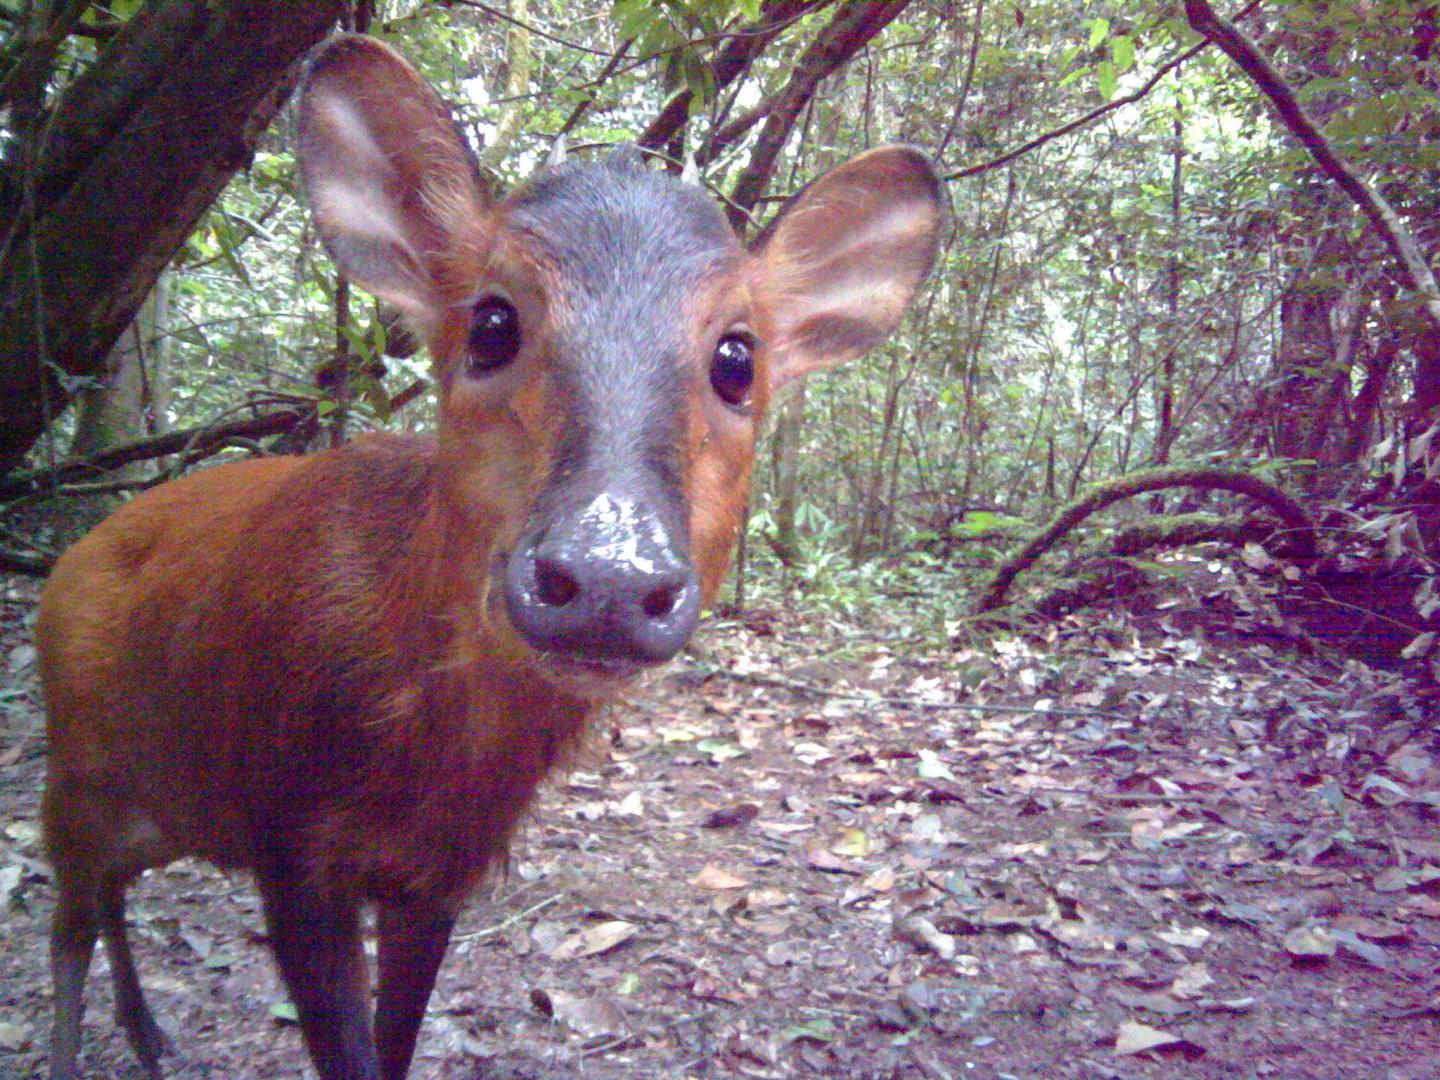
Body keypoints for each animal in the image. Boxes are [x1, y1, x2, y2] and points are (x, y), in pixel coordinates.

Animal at [36, 31, 944, 1080]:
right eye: (494, 322)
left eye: (737, 358)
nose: (606, 579)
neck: (414, 751)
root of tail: (71, 558)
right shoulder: (288, 843)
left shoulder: (438, 875)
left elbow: (395, 1044)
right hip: (75, 763)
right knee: (68, 917)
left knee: (110, 895)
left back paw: (148, 1035)